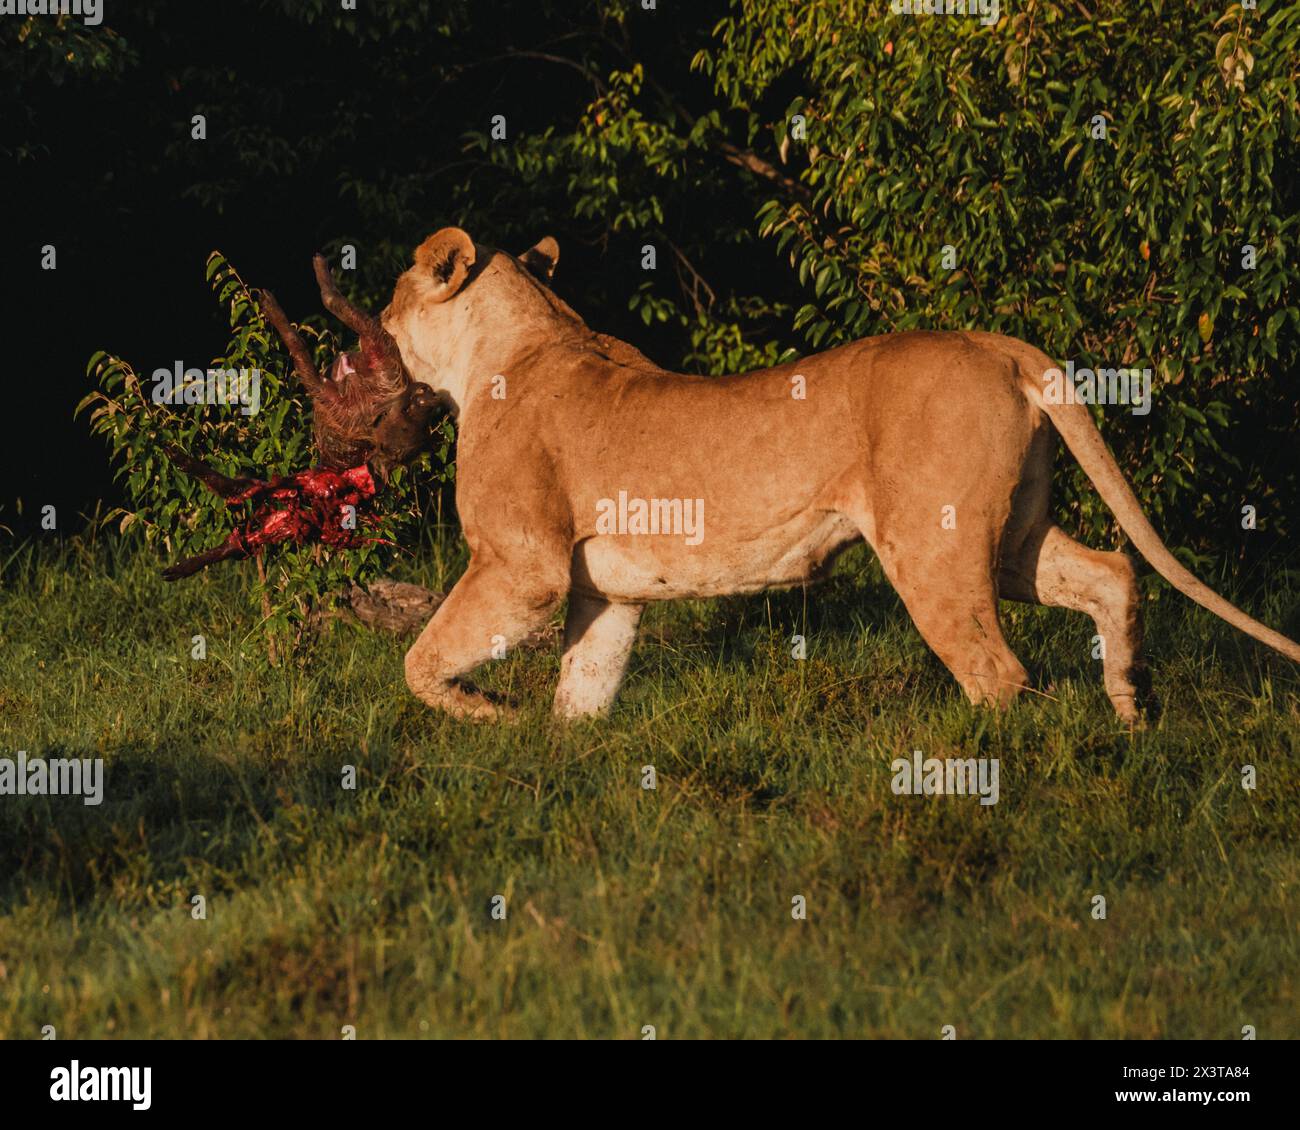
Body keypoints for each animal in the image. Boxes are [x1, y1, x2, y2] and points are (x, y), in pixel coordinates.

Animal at [378, 226, 1300, 722]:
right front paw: (562, 752)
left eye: (391, 297)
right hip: (1013, 539)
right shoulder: (606, 588)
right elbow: (583, 689)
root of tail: (994, 341)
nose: (378, 324)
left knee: (998, 672)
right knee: (1113, 573)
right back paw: (1132, 712)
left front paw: (485, 713)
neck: (515, 345)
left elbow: (421, 659)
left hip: (931, 547)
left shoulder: (521, 564)